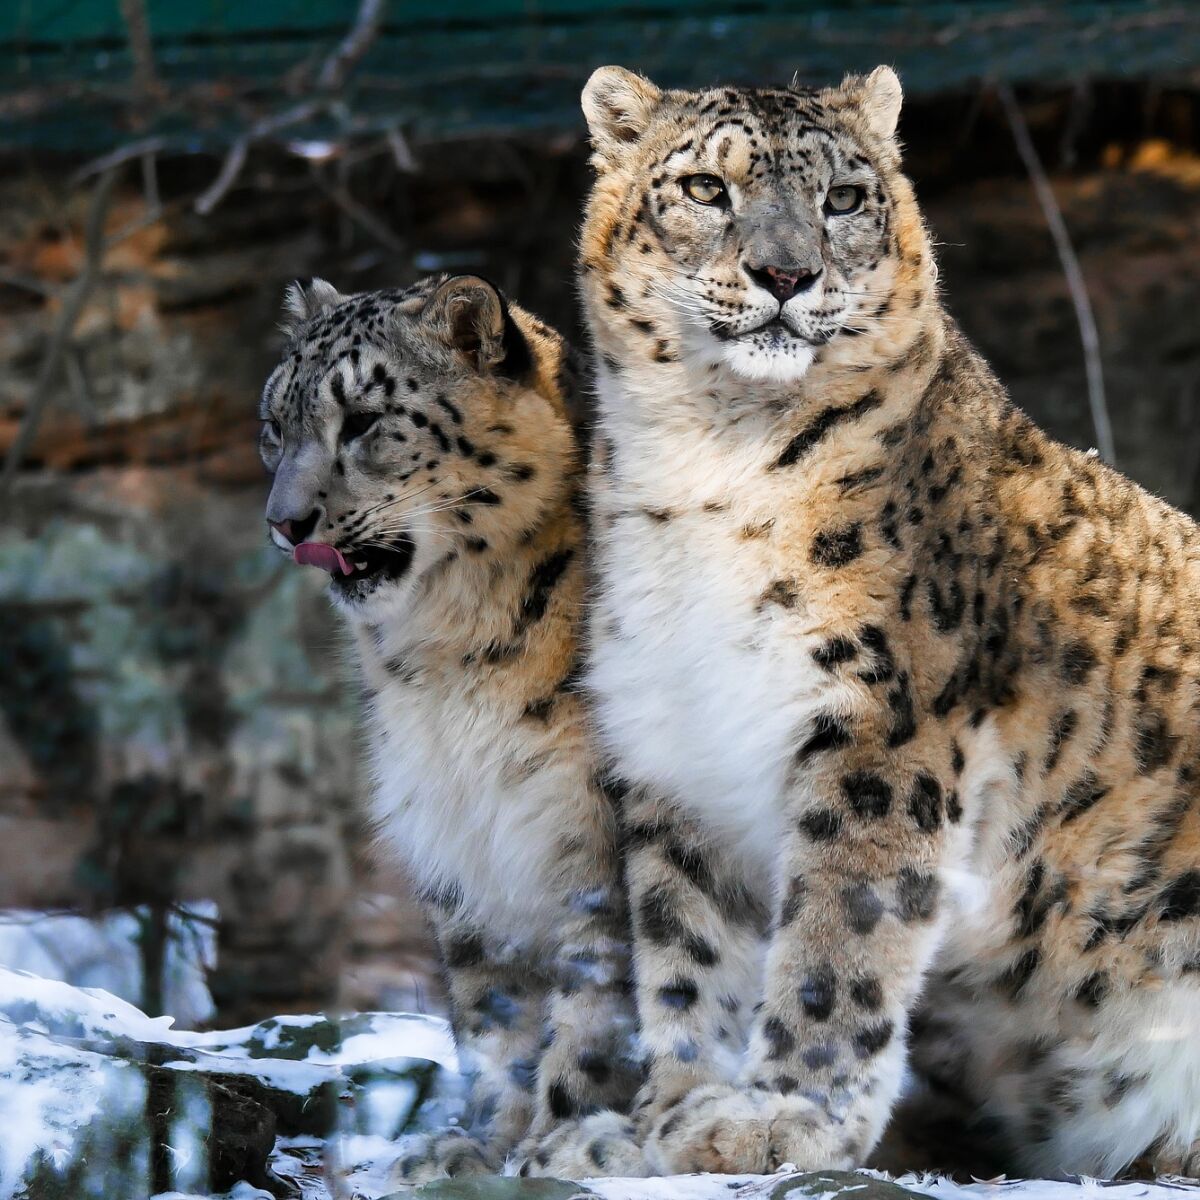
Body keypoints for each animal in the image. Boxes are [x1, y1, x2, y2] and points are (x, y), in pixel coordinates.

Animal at [258, 274, 642, 1181]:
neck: (452, 662)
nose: (285, 523)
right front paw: (477, 1144)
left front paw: (567, 1139)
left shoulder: (595, 831)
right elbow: (488, 1006)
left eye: (363, 419)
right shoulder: (457, 837)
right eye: (273, 426)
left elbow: (600, 999)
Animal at [558, 63, 1200, 1181]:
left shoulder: (879, 728)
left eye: (845, 197)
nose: (784, 273)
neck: (706, 464)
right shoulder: (674, 741)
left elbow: (839, 932)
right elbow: (686, 950)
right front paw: (664, 1119)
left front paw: (780, 1116)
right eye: (706, 189)